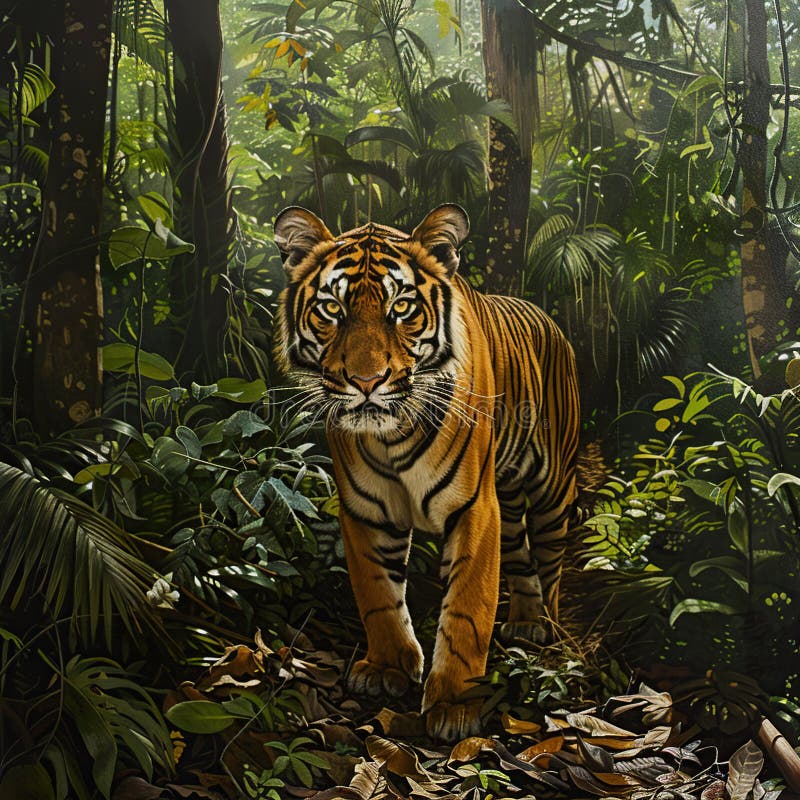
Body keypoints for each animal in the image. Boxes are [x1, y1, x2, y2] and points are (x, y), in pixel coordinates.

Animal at [273, 204, 580, 742]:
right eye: (332, 309)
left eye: (401, 308)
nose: (366, 381)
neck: (391, 437)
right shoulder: (366, 512)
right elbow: (378, 597)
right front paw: (388, 668)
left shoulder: (475, 508)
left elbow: (466, 611)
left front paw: (455, 705)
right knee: (522, 558)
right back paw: (524, 622)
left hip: (552, 489)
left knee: (552, 564)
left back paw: (552, 637)